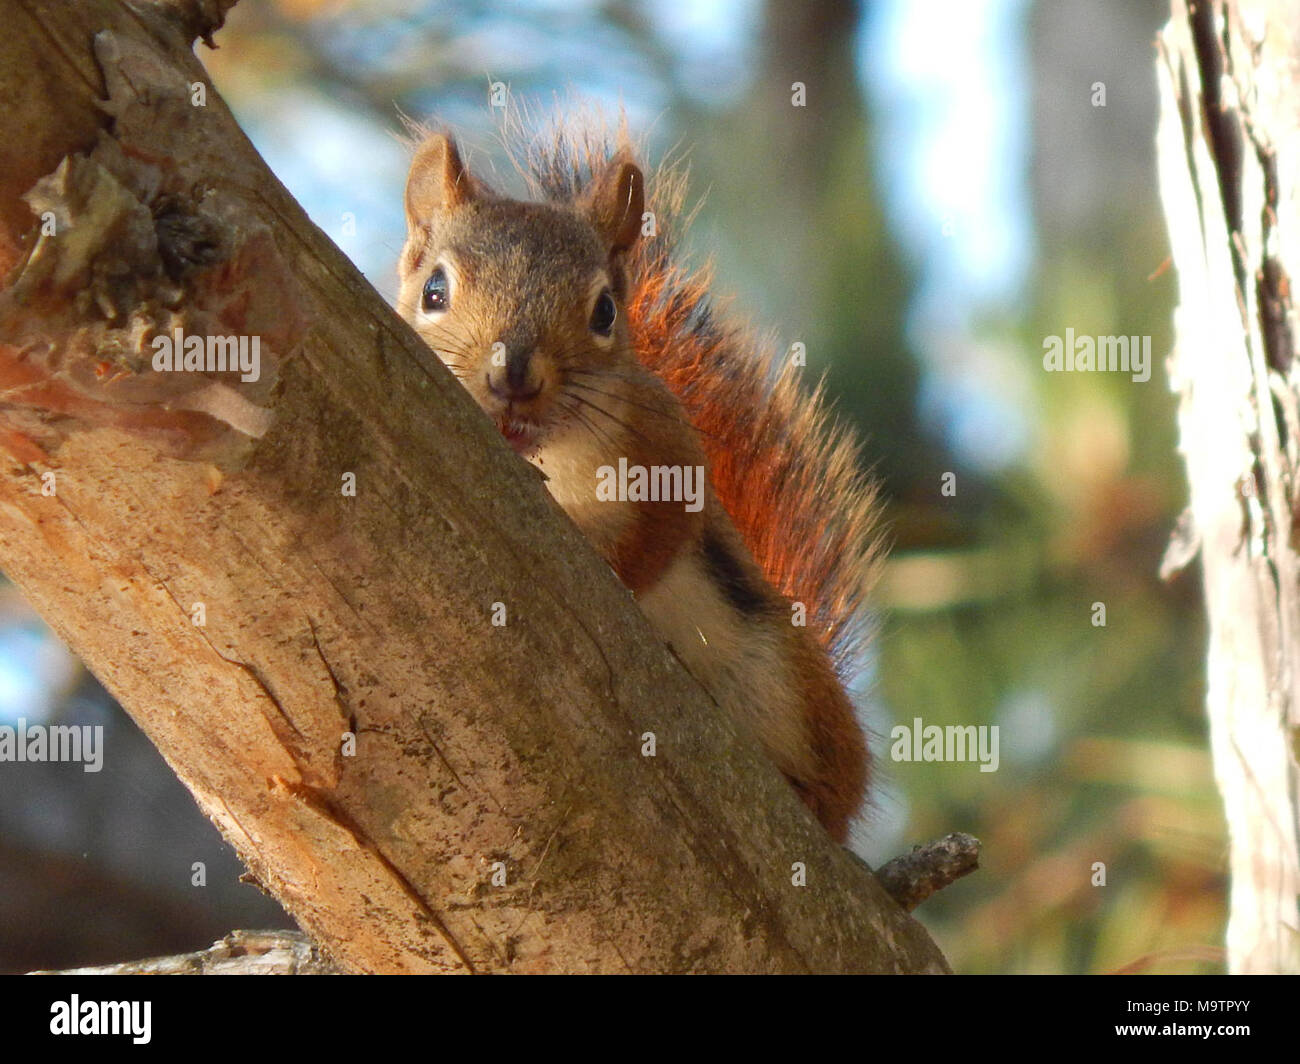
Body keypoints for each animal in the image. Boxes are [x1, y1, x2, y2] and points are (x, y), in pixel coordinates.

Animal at [396, 121, 884, 843]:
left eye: (604, 311)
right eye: (434, 291)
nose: (512, 374)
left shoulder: (668, 450)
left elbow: (657, 538)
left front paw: (612, 564)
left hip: (776, 679)